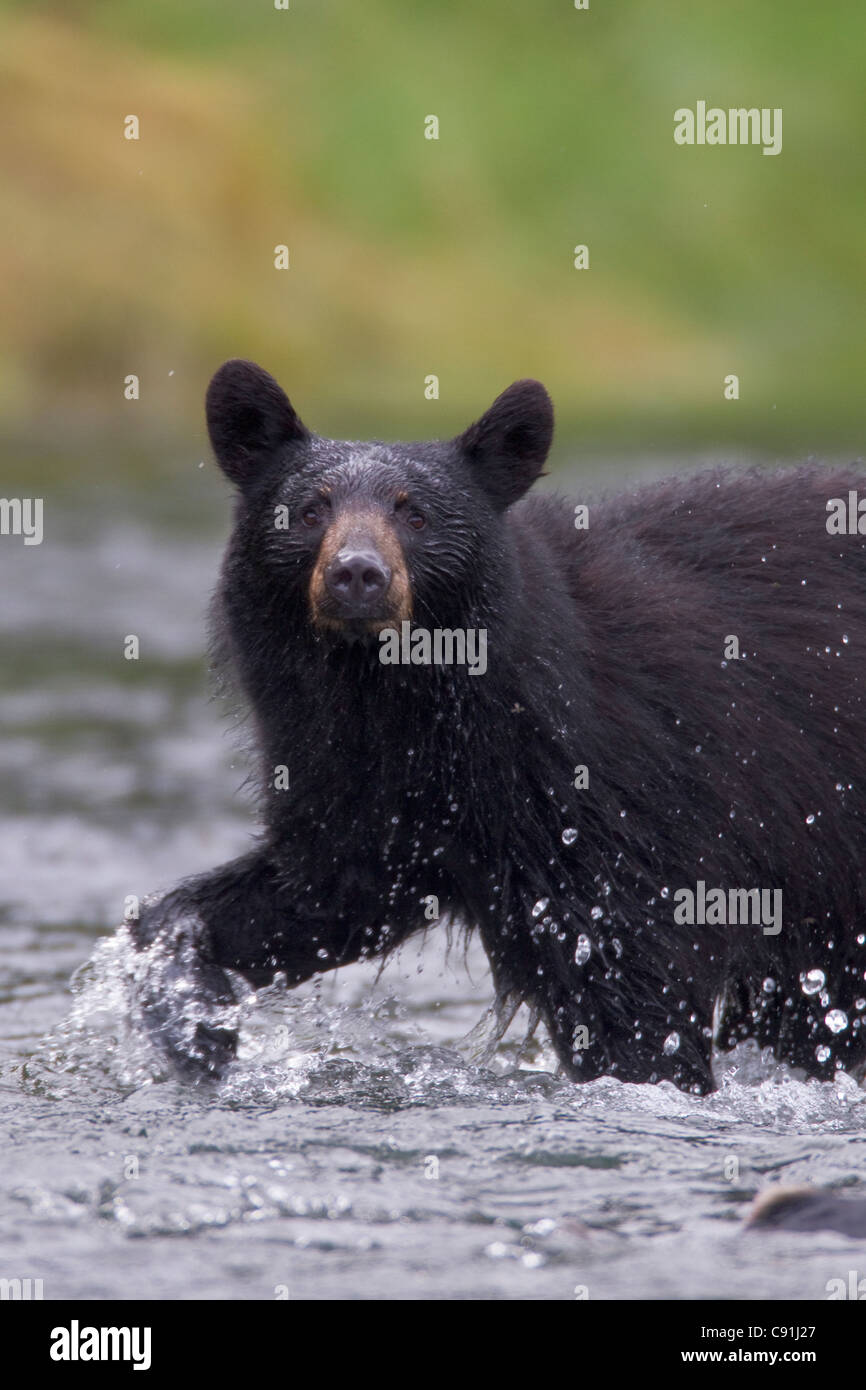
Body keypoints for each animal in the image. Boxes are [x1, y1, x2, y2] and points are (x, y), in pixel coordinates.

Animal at [128, 358, 866, 1094]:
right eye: (310, 511)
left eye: (416, 514)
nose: (357, 574)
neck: (394, 699)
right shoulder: (352, 780)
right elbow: (318, 890)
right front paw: (194, 1022)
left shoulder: (614, 790)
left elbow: (628, 974)